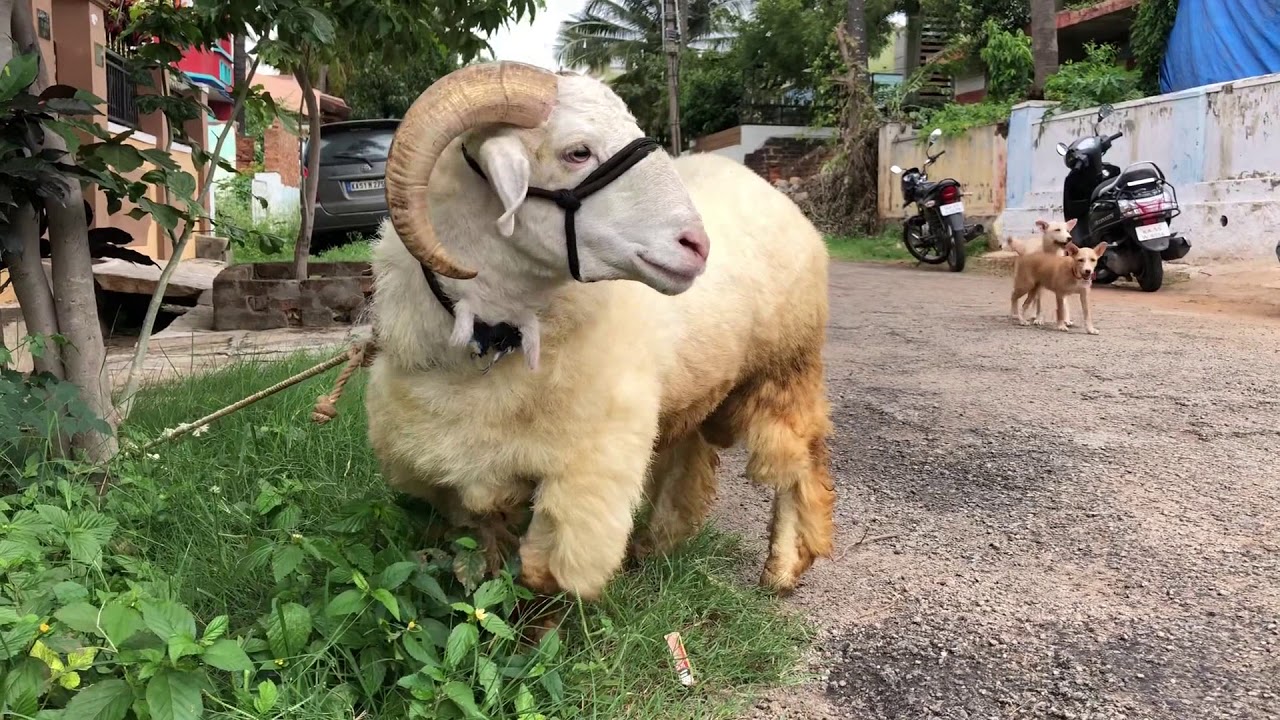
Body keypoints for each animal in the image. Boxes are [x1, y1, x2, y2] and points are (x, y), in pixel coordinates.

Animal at [365, 61, 835, 601]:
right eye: (577, 151)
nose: (697, 245)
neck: (498, 337)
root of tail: (765, 186)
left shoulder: (586, 470)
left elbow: (541, 574)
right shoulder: (452, 464)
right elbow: (483, 544)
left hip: (786, 366)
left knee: (796, 463)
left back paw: (781, 568)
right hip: (697, 384)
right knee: (687, 458)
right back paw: (656, 545)